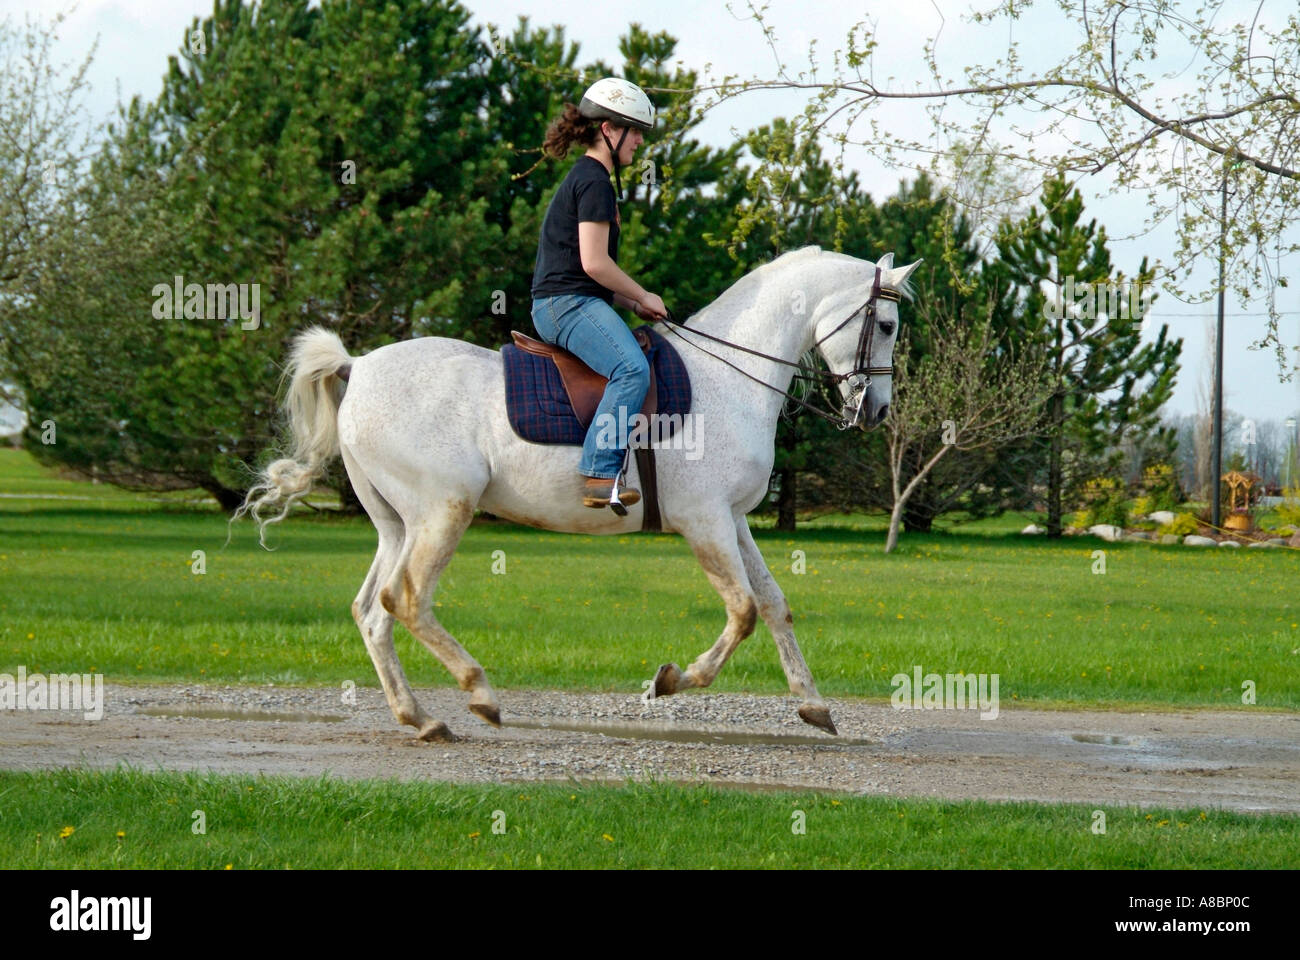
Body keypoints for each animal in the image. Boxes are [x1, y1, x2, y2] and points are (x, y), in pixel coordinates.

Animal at [234, 246, 920, 741]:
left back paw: (421, 719)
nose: (878, 412)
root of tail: (358, 366)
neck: (728, 378)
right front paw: (669, 681)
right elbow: (744, 611)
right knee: (405, 600)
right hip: (443, 512)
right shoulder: (705, 522)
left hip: (397, 525)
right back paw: (479, 694)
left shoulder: (733, 520)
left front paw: (814, 706)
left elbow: (775, 605)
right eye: (886, 324)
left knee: (372, 611)